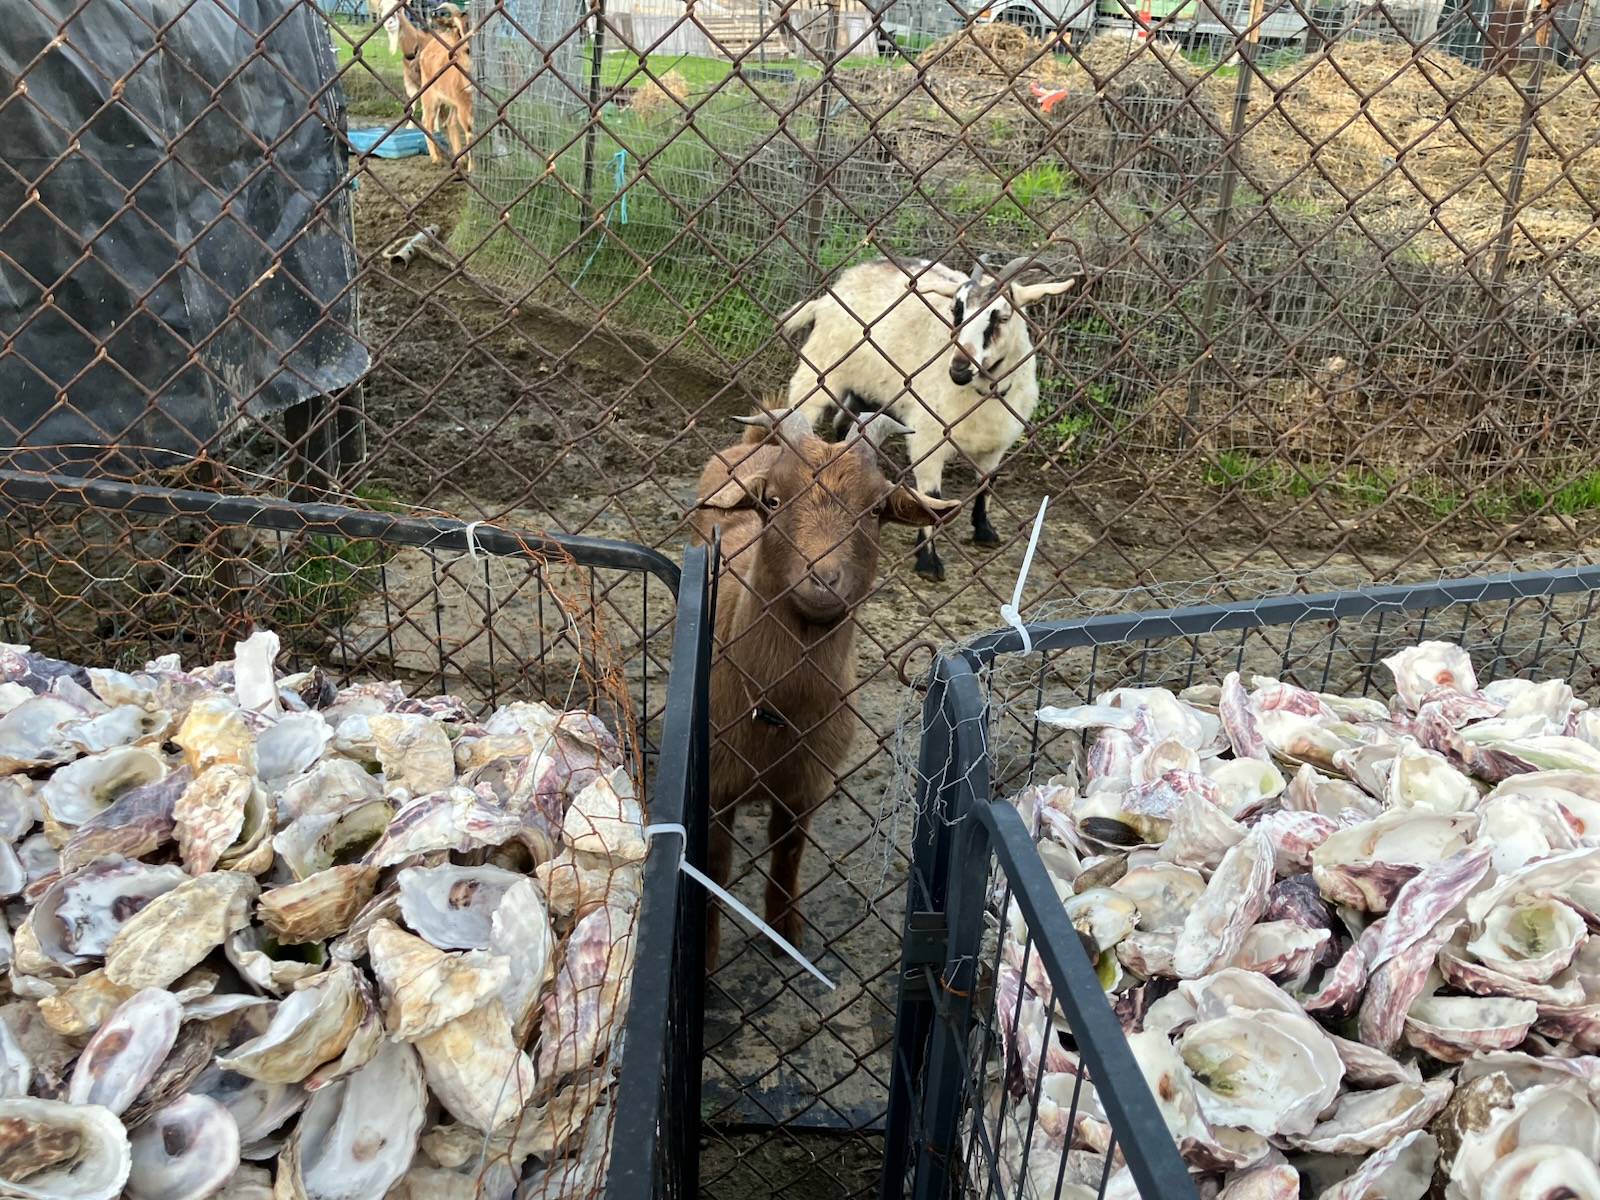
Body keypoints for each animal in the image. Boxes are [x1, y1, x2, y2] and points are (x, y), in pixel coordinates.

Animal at [388, 4, 474, 172]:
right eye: (453, 26)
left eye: (467, 24)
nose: (467, 49)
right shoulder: (463, 103)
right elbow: (469, 131)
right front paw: (472, 169)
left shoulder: (463, 101)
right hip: (429, 94)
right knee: (427, 121)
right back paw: (437, 159)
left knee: (450, 122)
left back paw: (460, 159)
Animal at [690, 406, 957, 969]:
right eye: (772, 500)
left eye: (876, 509)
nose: (823, 577)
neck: (776, 710)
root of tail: (756, 441)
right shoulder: (715, 783)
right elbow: (714, 870)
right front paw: (704, 954)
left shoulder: (808, 784)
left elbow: (788, 850)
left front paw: (785, 928)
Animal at [782, 255, 1081, 581]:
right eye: (956, 310)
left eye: (1002, 317)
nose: (959, 368)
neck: (983, 395)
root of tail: (831, 293)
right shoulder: (929, 438)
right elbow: (931, 495)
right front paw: (928, 562)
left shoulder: (997, 444)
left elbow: (987, 483)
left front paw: (985, 532)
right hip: (820, 371)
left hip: (867, 390)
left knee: (846, 426)